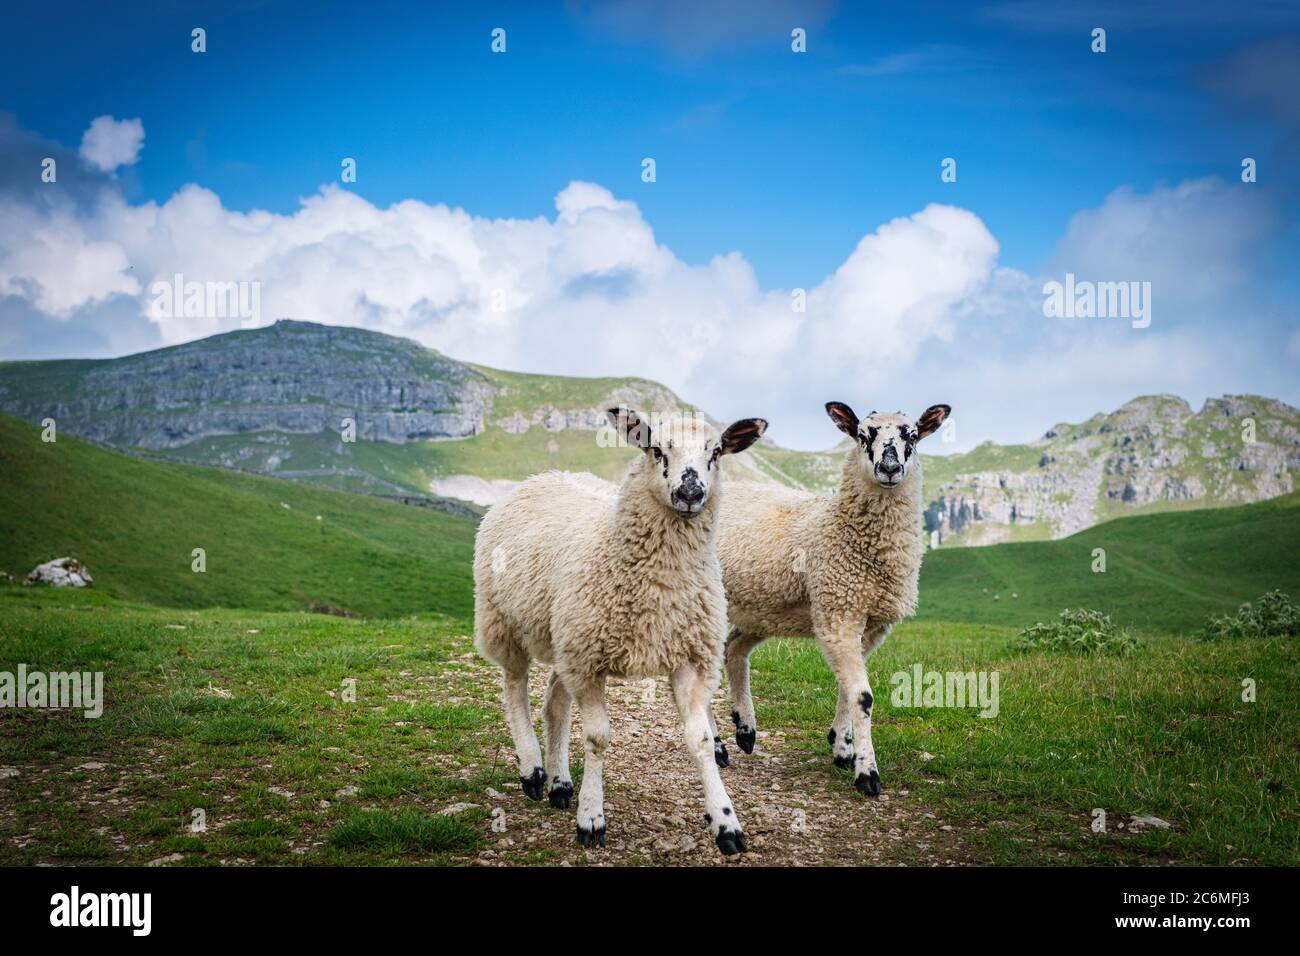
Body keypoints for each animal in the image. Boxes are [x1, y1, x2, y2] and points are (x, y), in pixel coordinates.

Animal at [473, 407, 768, 854]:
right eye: (656, 449)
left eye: (716, 451)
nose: (691, 491)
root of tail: (544, 475)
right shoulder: (589, 663)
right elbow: (597, 739)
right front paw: (591, 819)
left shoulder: (689, 660)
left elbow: (700, 741)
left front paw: (726, 823)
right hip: (503, 621)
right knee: (514, 690)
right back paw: (533, 769)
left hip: (566, 638)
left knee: (554, 704)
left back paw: (560, 783)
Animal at [716, 400, 950, 796]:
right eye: (862, 435)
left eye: (913, 436)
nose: (890, 469)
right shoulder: (839, 612)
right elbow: (863, 696)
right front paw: (867, 773)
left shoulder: (872, 625)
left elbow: (848, 689)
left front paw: (843, 748)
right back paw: (717, 746)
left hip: (760, 609)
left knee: (733, 649)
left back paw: (745, 730)